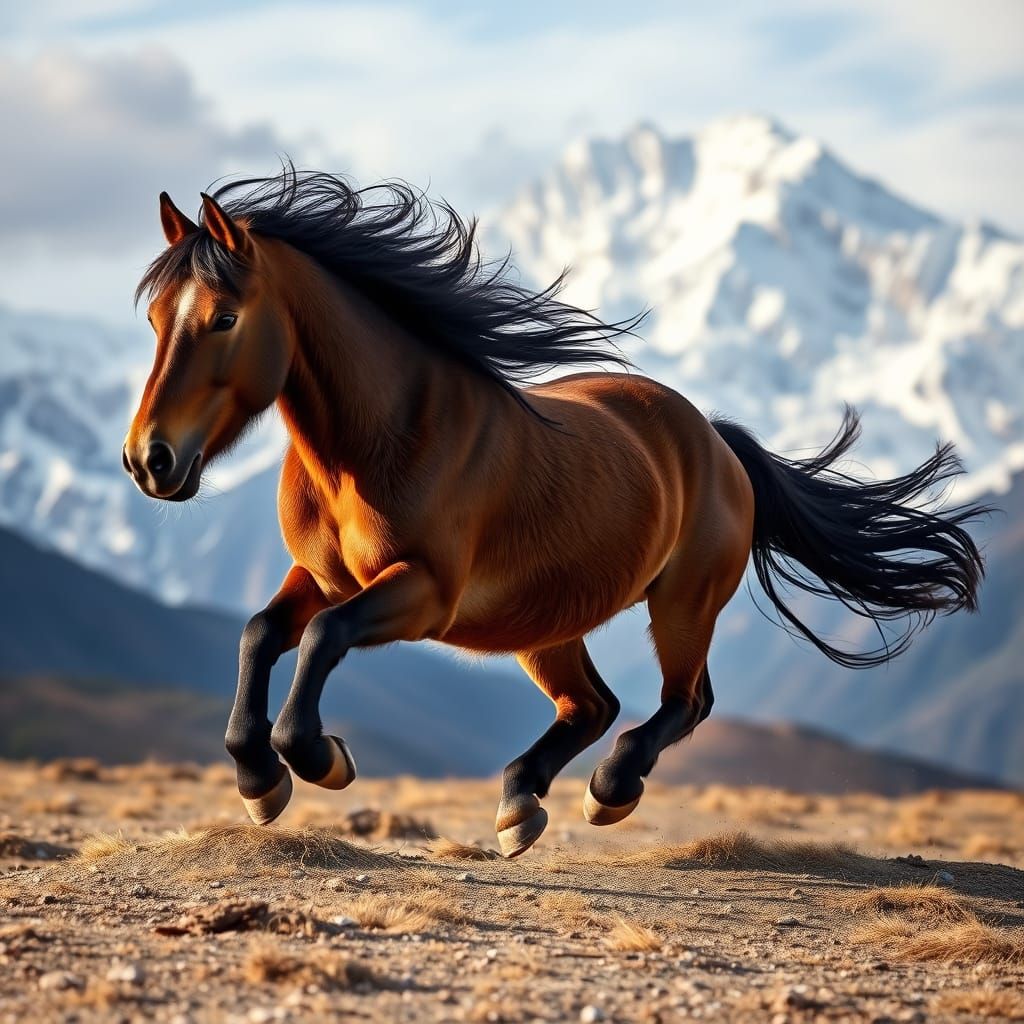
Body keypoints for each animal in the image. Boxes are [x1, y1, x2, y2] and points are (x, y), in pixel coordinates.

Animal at [124, 167, 986, 857]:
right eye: (156, 319)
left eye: (225, 317)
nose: (148, 460)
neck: (376, 441)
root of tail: (717, 441)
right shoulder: (321, 575)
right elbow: (261, 632)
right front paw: (259, 779)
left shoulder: (424, 592)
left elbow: (321, 639)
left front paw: (317, 759)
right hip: (546, 624)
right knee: (592, 704)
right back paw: (519, 804)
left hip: (680, 604)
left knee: (683, 703)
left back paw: (609, 790)